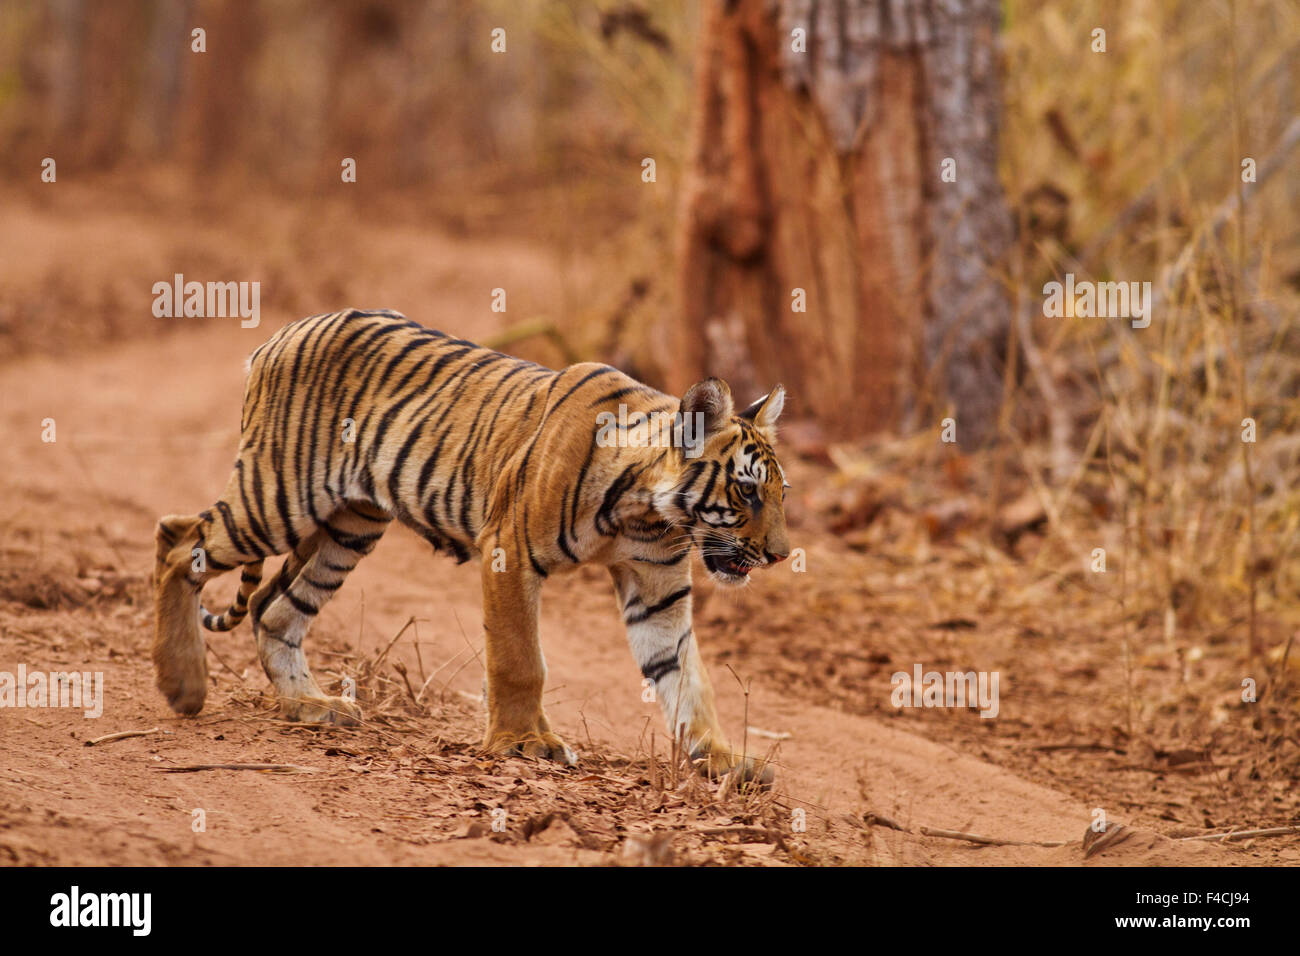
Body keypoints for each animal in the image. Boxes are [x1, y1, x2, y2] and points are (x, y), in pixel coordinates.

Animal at [152, 309, 790, 783]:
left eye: (781, 493)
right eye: (746, 490)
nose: (781, 555)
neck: (648, 514)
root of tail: (284, 331)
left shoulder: (658, 591)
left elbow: (686, 678)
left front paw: (725, 760)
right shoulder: (510, 549)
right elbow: (519, 659)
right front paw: (524, 743)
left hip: (349, 526)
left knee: (274, 608)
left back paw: (311, 705)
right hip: (278, 497)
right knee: (179, 540)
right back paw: (183, 686)